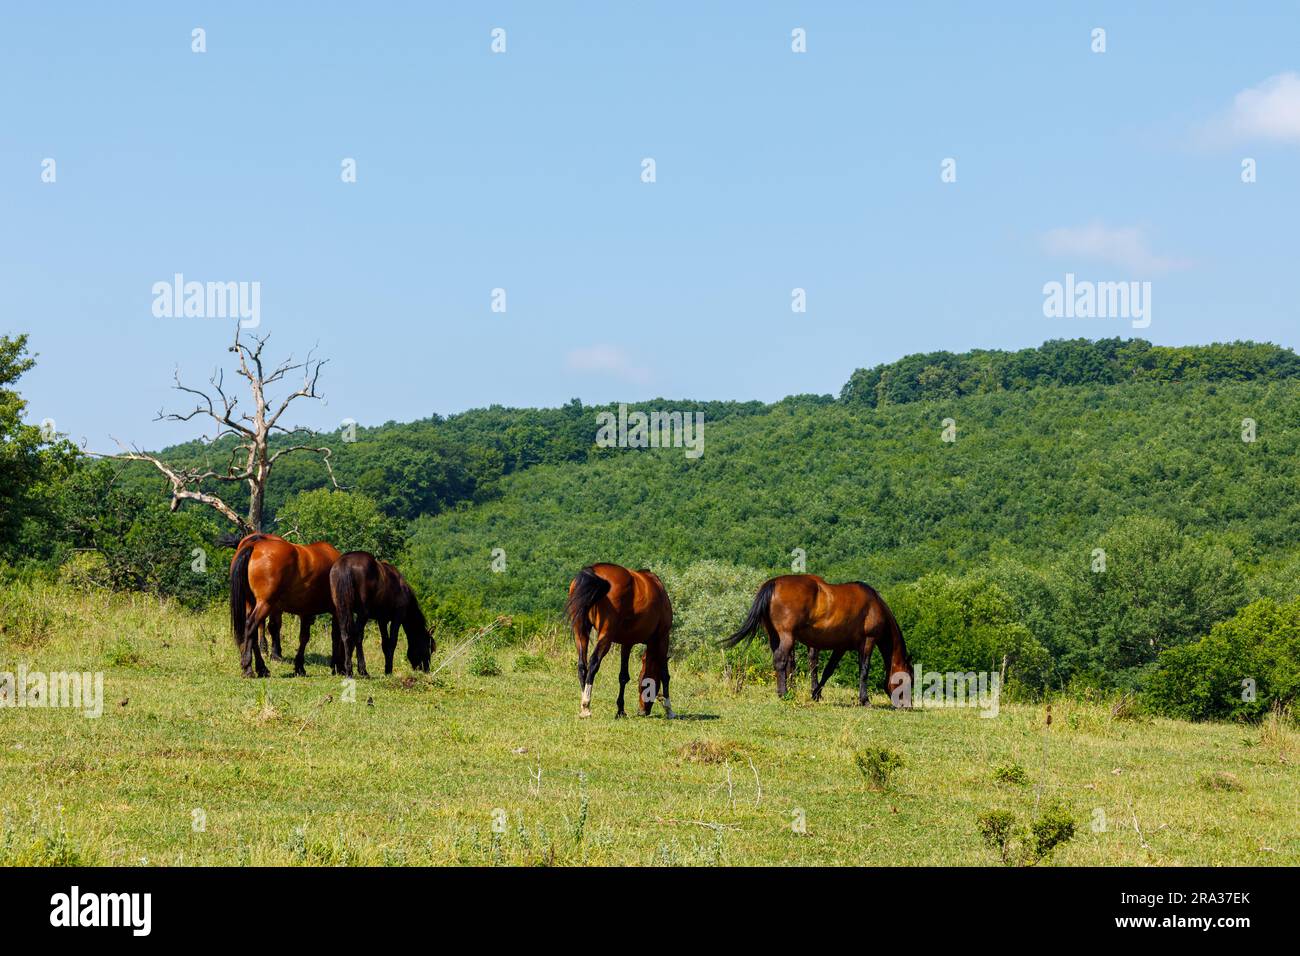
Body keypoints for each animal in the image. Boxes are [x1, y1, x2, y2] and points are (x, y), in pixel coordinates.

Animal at [229, 533, 341, 678]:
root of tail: (254, 545)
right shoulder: (334, 611)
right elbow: (335, 637)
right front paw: (336, 666)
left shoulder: (306, 612)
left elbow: (303, 637)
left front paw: (299, 667)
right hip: (265, 604)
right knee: (250, 626)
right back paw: (248, 668)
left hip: (252, 603)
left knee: (253, 633)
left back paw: (262, 668)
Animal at [566, 563, 674, 719]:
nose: (643, 711)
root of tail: (593, 570)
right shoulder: (663, 638)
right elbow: (665, 674)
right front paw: (669, 709)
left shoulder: (627, 643)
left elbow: (623, 676)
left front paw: (621, 710)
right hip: (606, 636)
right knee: (593, 663)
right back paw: (586, 706)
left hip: (580, 632)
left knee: (582, 666)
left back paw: (583, 706)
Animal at [722, 574, 913, 707]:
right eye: (909, 679)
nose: (908, 706)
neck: (874, 604)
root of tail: (774, 583)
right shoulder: (868, 641)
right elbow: (864, 670)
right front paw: (865, 700)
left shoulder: (841, 647)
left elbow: (828, 670)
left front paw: (816, 694)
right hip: (786, 636)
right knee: (781, 660)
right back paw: (784, 693)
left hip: (773, 636)